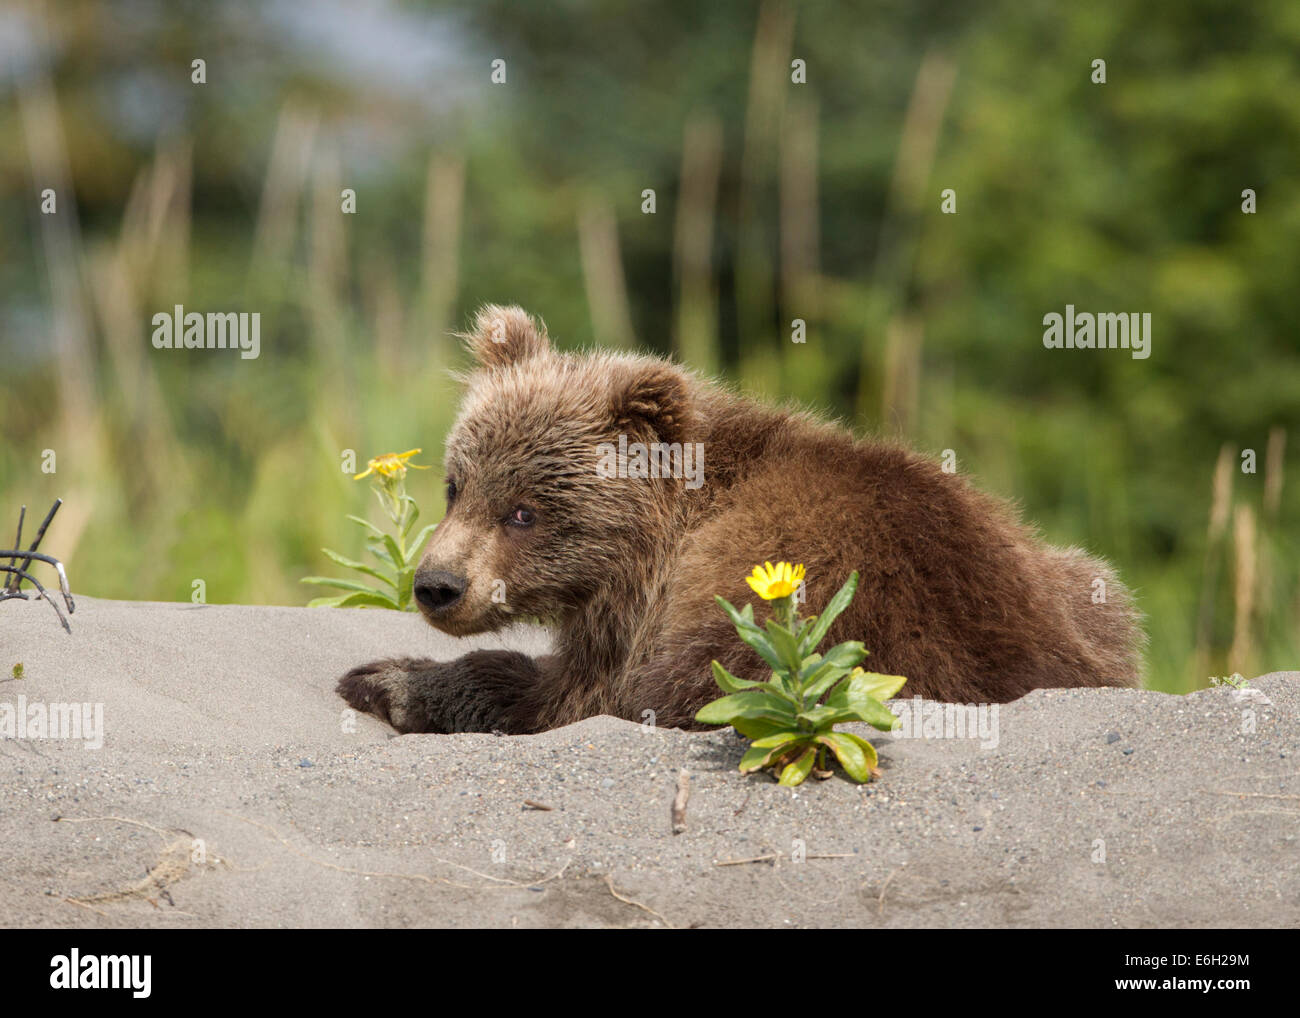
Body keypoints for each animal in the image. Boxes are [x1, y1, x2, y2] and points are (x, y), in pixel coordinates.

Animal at [337, 305, 1144, 734]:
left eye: (525, 511)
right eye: (455, 486)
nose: (438, 585)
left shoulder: (656, 607)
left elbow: (576, 695)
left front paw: (386, 679)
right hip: (1075, 586)